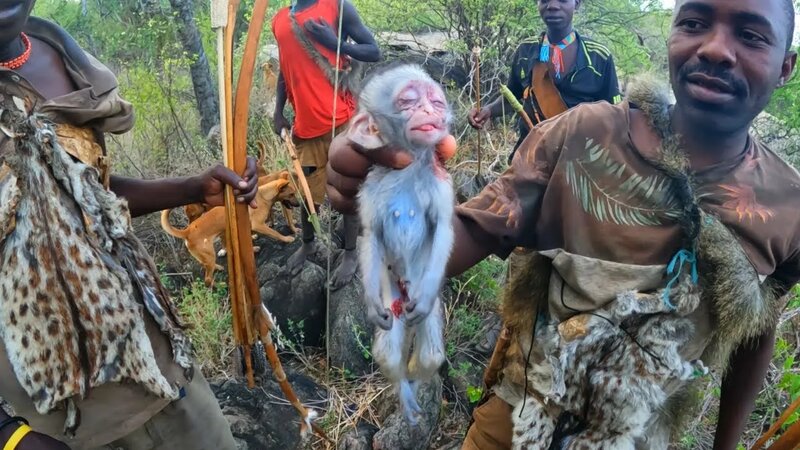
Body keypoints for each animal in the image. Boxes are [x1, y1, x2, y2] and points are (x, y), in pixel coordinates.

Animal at [349, 64, 455, 425]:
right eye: (408, 101)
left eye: (436, 102)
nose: (429, 112)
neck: (410, 167)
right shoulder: (371, 184)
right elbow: (369, 234)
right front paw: (369, 305)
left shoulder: (441, 183)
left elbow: (444, 230)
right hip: (393, 296)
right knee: (387, 349)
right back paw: (404, 392)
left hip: (424, 299)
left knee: (431, 354)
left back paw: (417, 384)